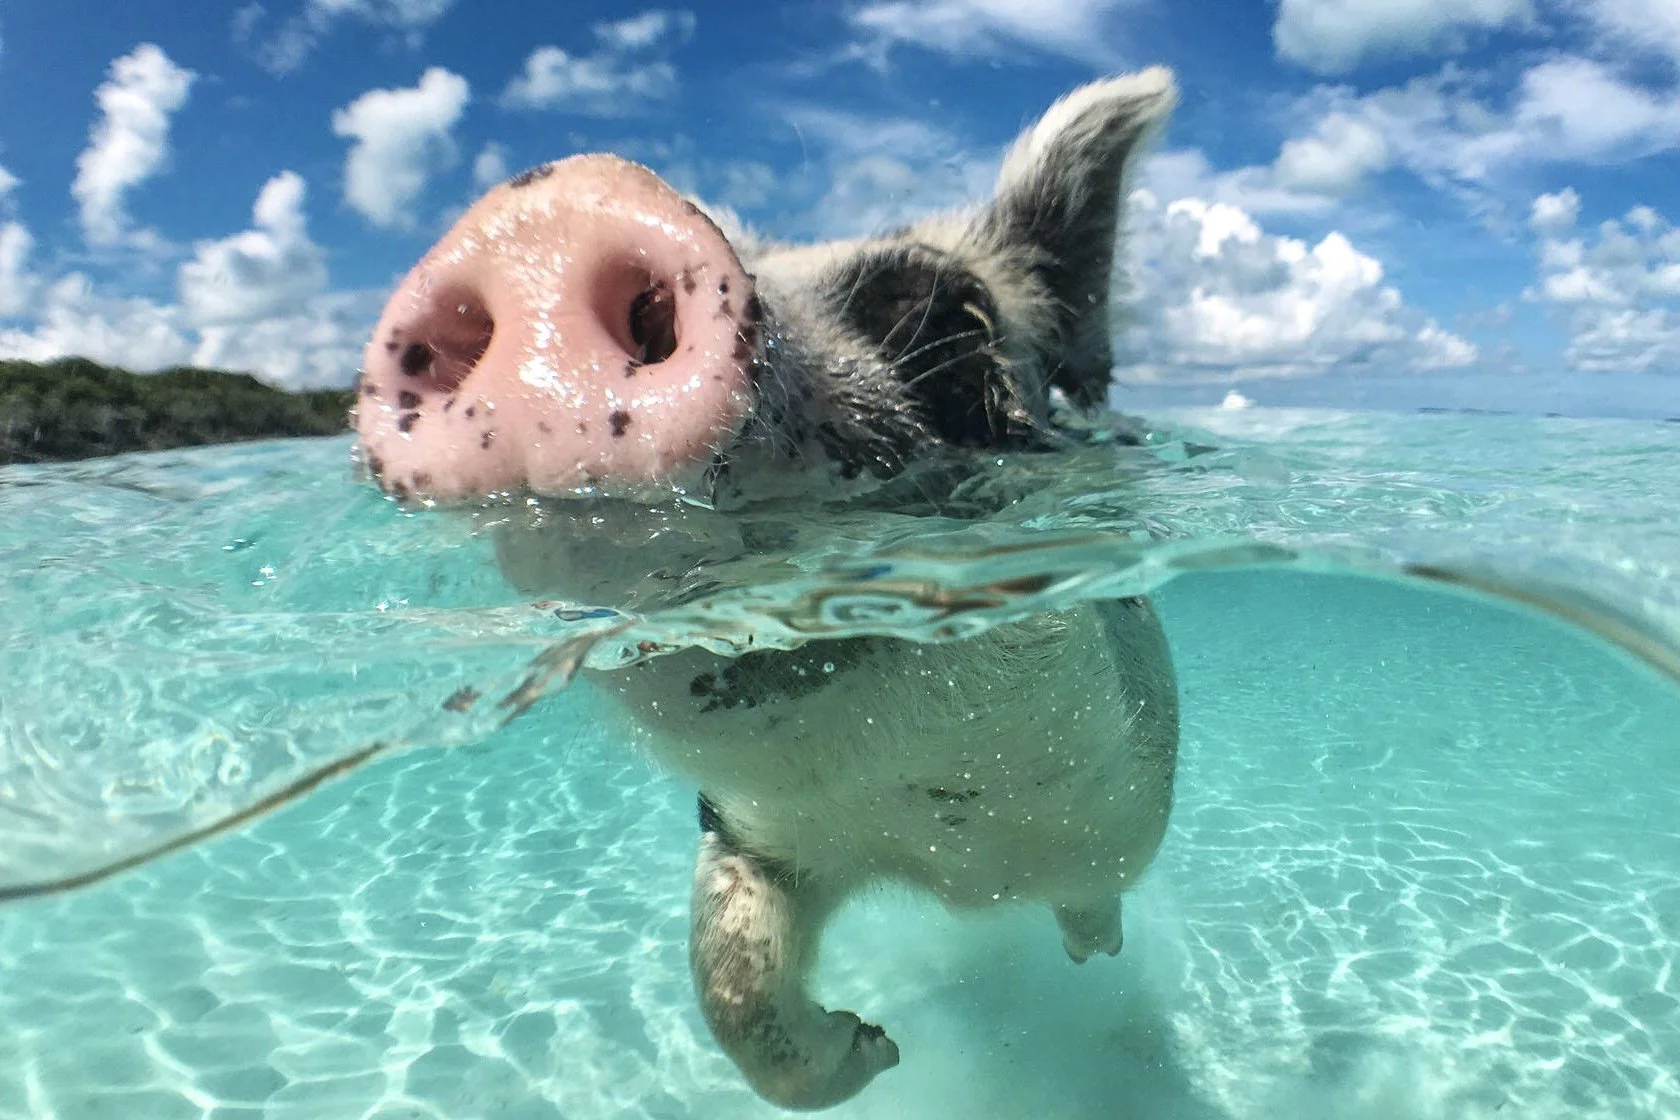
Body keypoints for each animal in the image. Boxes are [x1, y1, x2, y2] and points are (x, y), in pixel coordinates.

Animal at [353, 68, 1181, 1110]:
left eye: (950, 316)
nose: (547, 212)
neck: (945, 851)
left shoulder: (1113, 806)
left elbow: (1093, 894)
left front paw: (1045, 974)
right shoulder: (751, 835)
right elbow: (732, 982)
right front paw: (878, 1047)